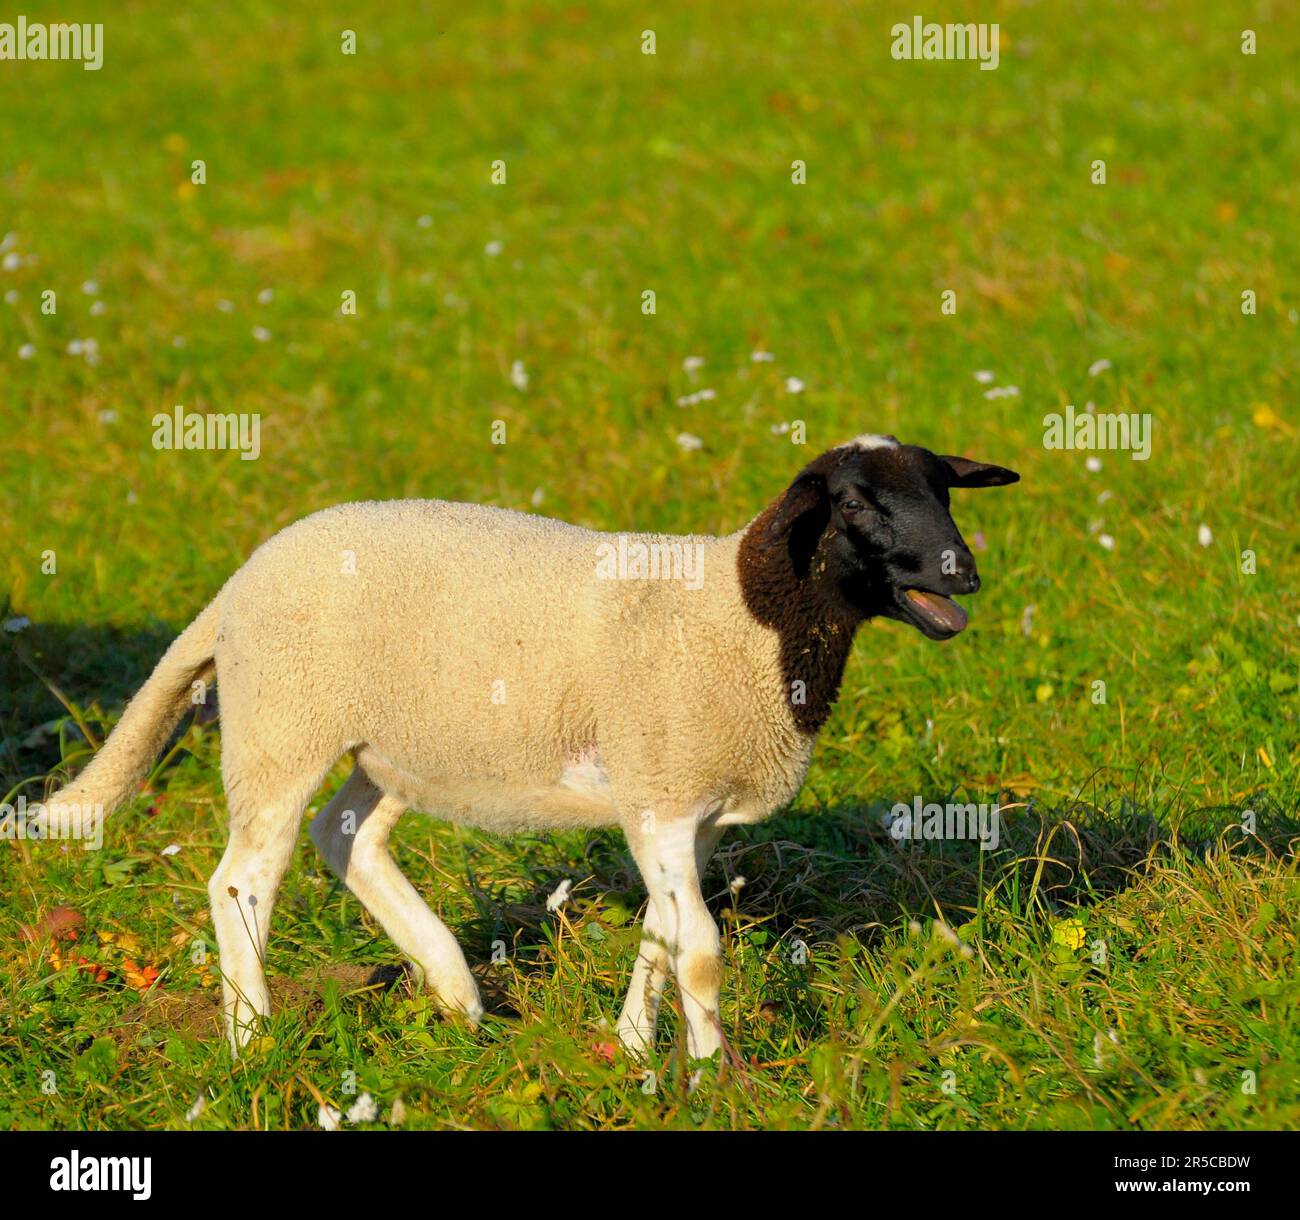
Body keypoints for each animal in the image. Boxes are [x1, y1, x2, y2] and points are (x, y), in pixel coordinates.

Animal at [41, 435, 1018, 1059]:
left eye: (943, 489)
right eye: (854, 500)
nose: (962, 571)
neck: (744, 619)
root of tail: (237, 584)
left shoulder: (683, 808)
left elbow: (664, 932)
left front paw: (633, 1050)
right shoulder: (662, 792)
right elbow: (700, 945)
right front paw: (710, 1075)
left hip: (396, 744)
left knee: (346, 835)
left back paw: (456, 993)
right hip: (285, 723)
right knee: (241, 880)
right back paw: (252, 1040)